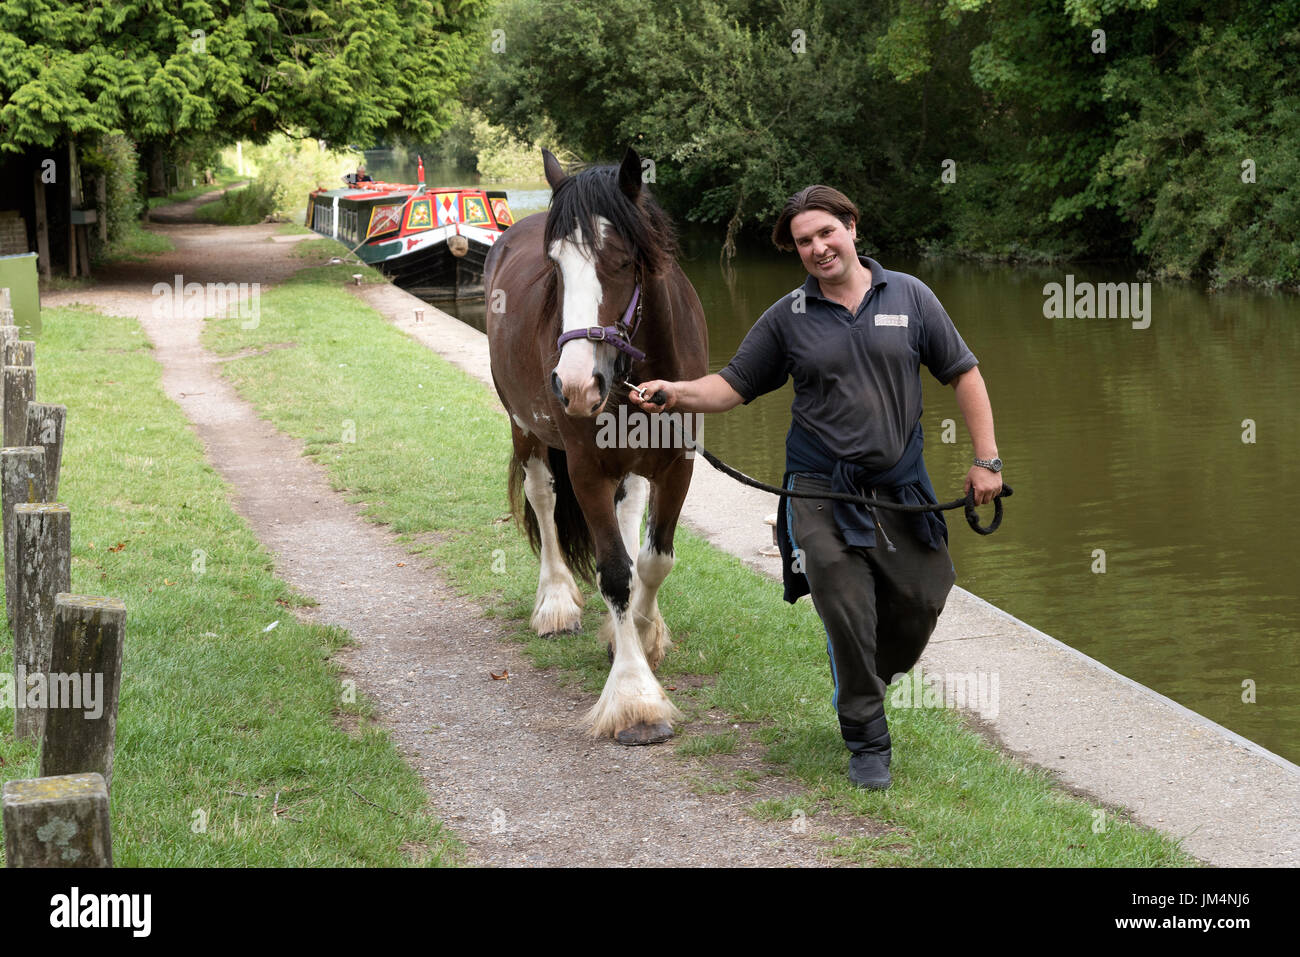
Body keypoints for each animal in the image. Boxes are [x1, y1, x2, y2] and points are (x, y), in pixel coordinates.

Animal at [484, 148, 708, 746]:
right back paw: (556, 602)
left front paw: (642, 635)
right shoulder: (585, 470)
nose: (577, 384)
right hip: (525, 428)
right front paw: (635, 698)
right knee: (542, 496)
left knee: (628, 516)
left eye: (623, 260)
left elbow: (652, 561)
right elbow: (614, 573)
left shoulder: (676, 467)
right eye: (556, 266)